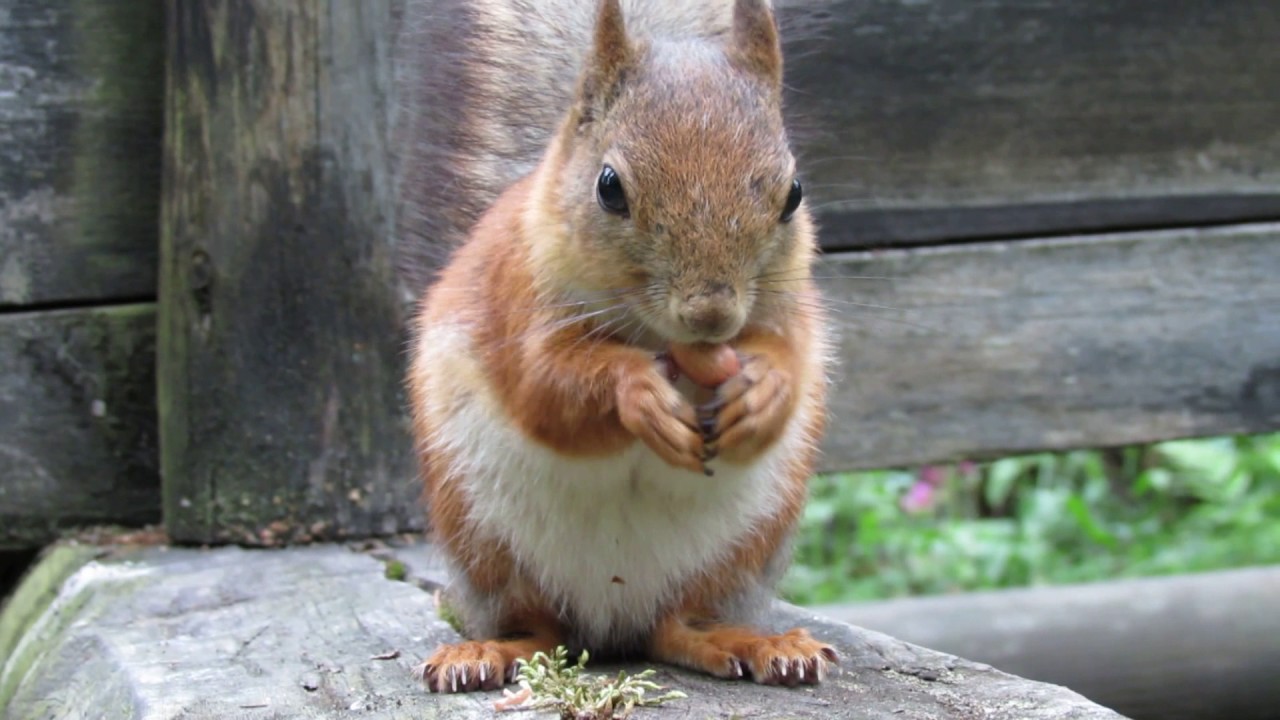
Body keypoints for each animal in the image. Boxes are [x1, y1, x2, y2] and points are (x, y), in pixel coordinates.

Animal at [399, 0, 835, 693]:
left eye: (793, 194)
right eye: (609, 187)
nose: (711, 314)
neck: (659, 339)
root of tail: (611, 619)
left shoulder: (793, 313)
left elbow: (791, 359)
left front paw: (765, 391)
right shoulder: (515, 301)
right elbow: (546, 388)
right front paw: (638, 391)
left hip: (745, 545)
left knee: (679, 624)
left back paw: (753, 642)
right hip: (484, 541)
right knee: (537, 628)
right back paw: (485, 652)